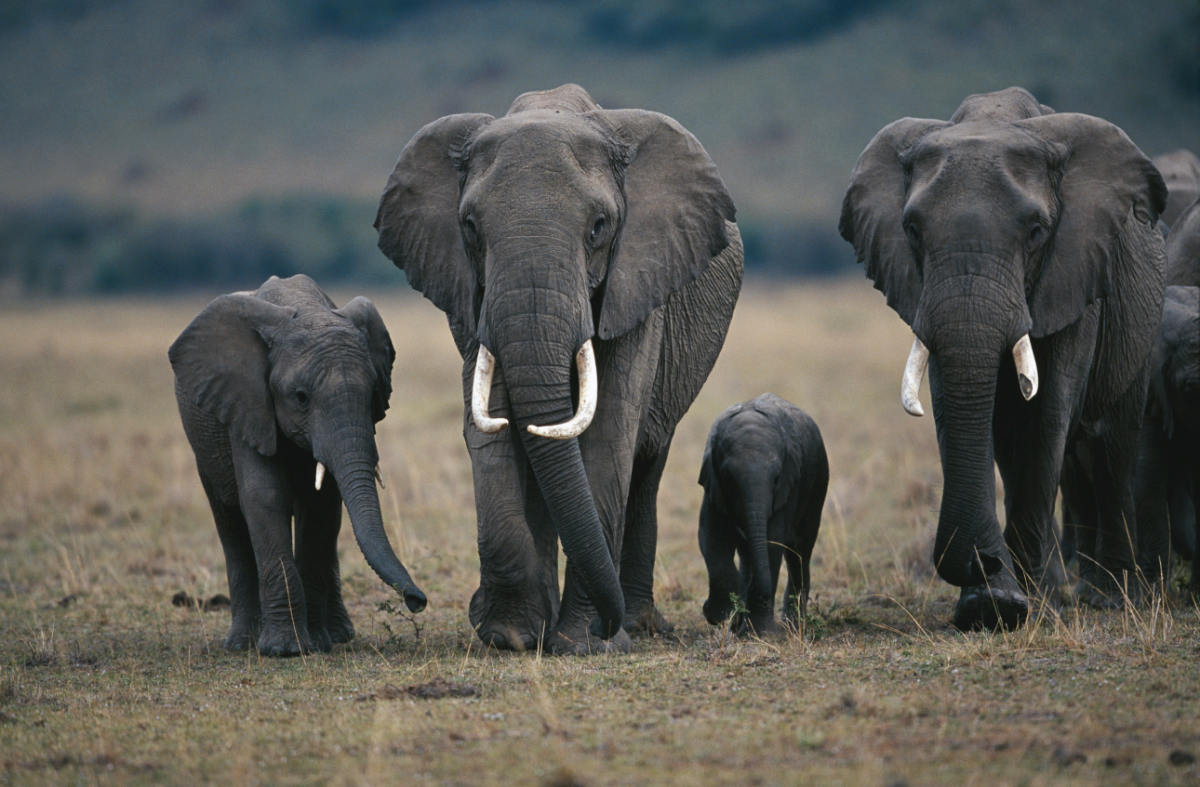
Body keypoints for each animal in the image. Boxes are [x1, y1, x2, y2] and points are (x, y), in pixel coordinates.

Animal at [169, 274, 426, 656]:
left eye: (373, 396)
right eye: (301, 398)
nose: (417, 601)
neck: (306, 311)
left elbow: (322, 505)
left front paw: (316, 643)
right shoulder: (247, 402)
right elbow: (264, 498)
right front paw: (285, 650)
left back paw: (337, 635)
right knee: (230, 522)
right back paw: (242, 643)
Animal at [374, 83, 743, 654]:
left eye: (599, 227)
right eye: (469, 227)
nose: (609, 628)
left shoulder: (638, 283)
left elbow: (610, 430)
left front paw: (583, 642)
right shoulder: (470, 298)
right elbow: (491, 428)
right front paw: (510, 636)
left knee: (646, 460)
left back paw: (637, 623)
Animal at [697, 394, 828, 636]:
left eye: (776, 478)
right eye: (728, 477)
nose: (705, 607)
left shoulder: (789, 488)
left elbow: (771, 542)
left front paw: (757, 633)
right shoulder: (713, 486)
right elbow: (711, 538)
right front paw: (722, 615)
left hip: (817, 488)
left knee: (799, 551)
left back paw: (792, 626)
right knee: (749, 553)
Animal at [839, 87, 1168, 630]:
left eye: (1036, 231)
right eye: (912, 229)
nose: (984, 561)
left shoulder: (1074, 271)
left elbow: (1045, 413)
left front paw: (1024, 604)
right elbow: (959, 409)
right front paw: (990, 604)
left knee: (1114, 447)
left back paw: (1109, 597)